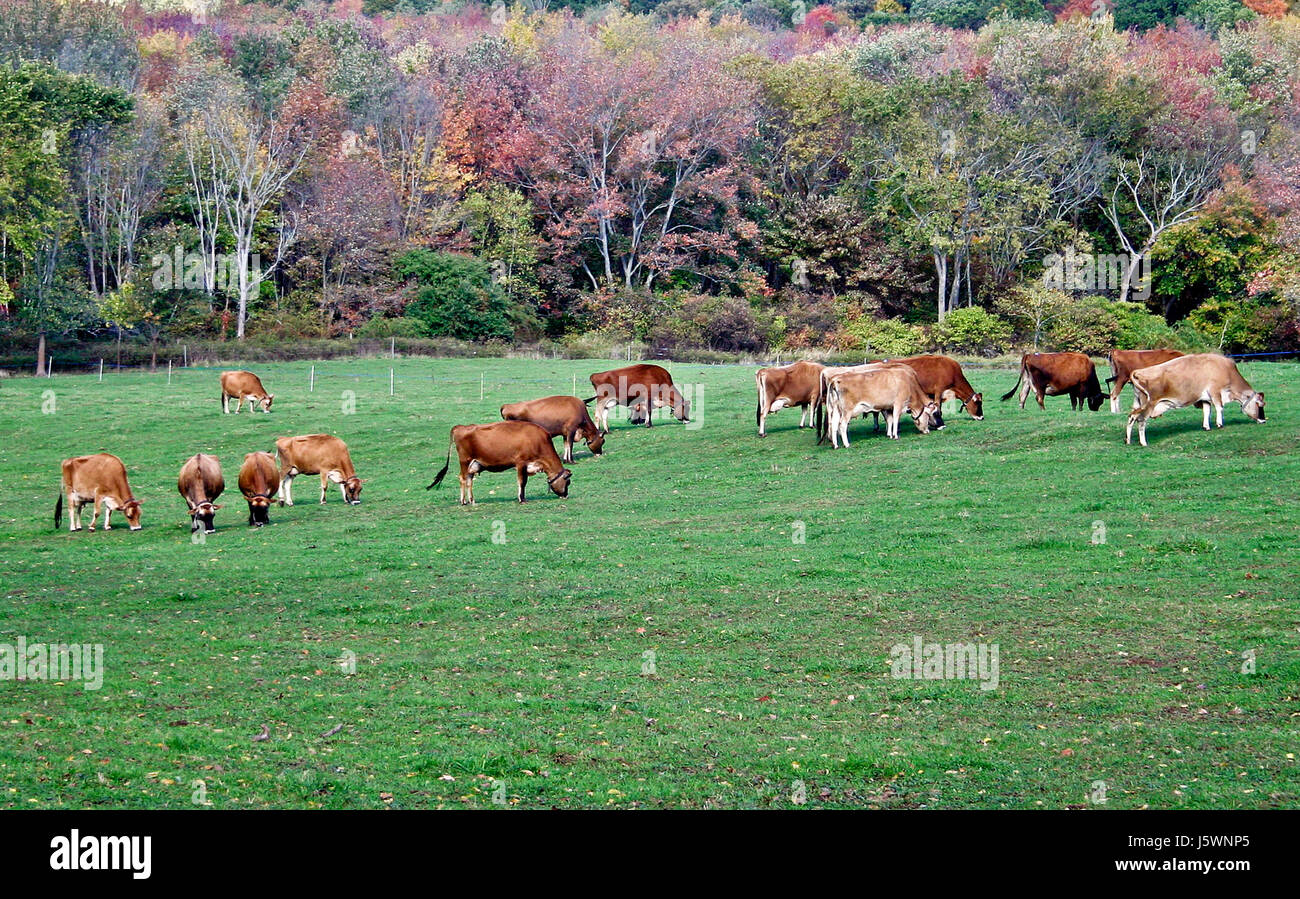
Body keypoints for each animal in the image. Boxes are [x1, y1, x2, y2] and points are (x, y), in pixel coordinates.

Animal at [427, 421, 572, 505]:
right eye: (568, 482)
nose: (565, 495)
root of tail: (460, 427)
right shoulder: (521, 463)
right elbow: (522, 482)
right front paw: (522, 499)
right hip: (465, 461)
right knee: (462, 478)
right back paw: (463, 501)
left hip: (472, 464)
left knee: (469, 480)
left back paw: (472, 500)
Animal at [815, 363, 943, 443]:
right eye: (935, 413)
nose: (942, 426)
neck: (909, 381)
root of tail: (836, 379)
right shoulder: (898, 404)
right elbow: (895, 418)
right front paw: (895, 435)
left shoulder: (888, 407)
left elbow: (890, 420)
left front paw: (890, 434)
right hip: (846, 410)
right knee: (841, 424)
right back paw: (845, 444)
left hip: (836, 408)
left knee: (833, 423)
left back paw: (835, 444)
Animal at [1126, 354, 1266, 447]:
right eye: (1260, 404)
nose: (1264, 420)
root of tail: (1139, 372)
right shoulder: (1215, 391)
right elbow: (1219, 407)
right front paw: (1220, 424)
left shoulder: (1205, 398)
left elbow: (1207, 410)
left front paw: (1206, 427)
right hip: (1149, 405)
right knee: (1141, 421)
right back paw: (1143, 442)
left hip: (1138, 404)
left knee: (1131, 417)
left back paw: (1128, 440)